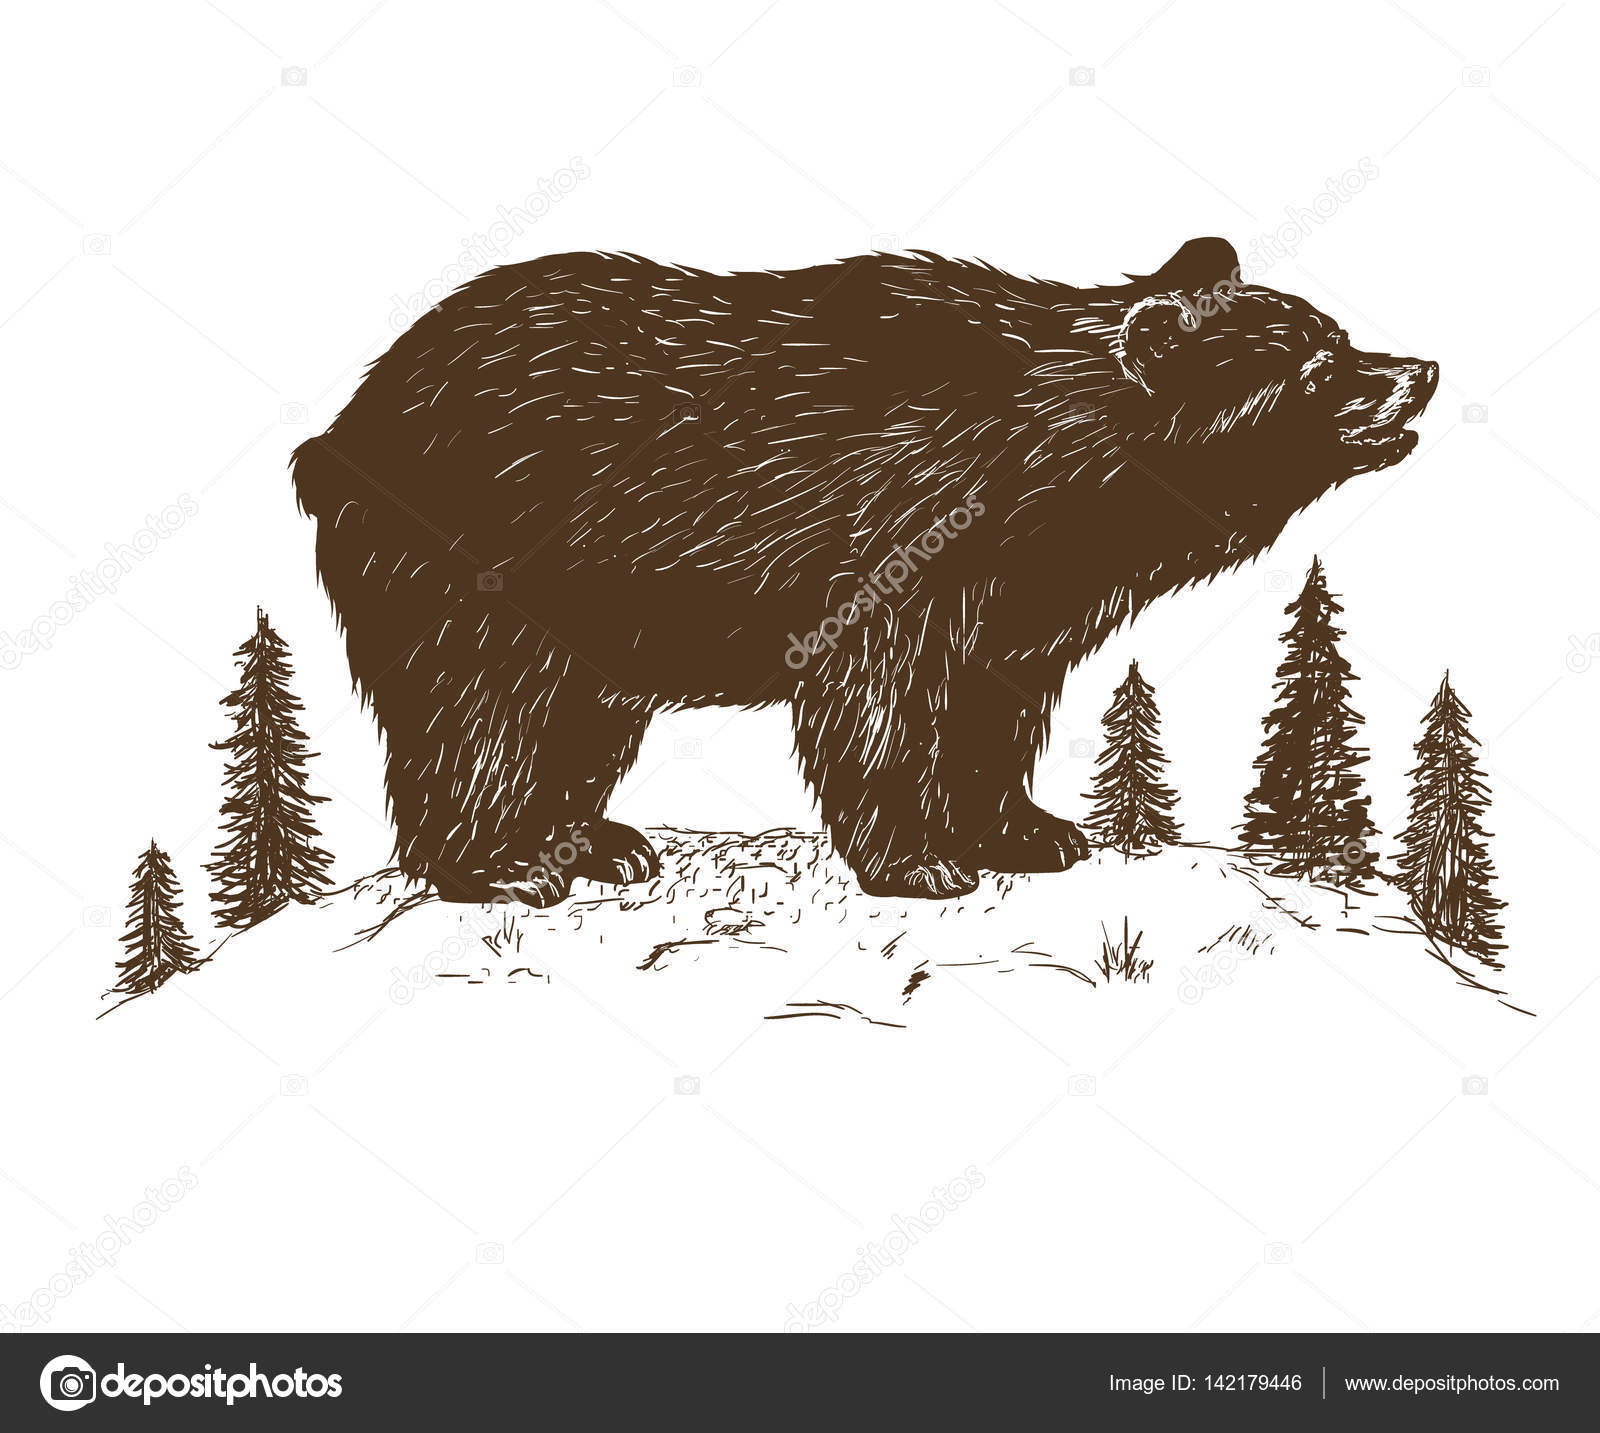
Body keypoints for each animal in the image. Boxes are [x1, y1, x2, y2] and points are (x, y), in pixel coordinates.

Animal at [290, 237, 1437, 906]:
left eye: (1335, 331)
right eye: (1319, 361)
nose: (1419, 370)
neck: (1049, 473)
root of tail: (342, 429)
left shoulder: (1029, 587)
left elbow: (991, 700)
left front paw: (1030, 829)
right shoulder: (907, 522)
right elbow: (878, 693)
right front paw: (919, 859)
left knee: (576, 719)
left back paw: (594, 839)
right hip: (481, 550)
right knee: (474, 708)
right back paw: (506, 863)